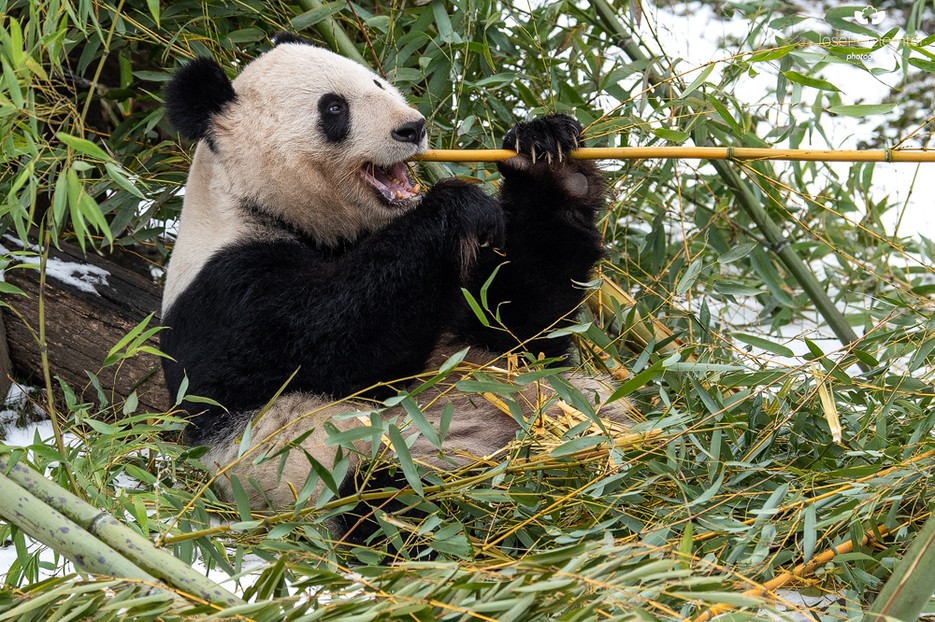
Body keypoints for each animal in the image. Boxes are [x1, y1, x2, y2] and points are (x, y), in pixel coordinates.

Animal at [161, 33, 617, 535]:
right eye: (333, 108)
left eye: (378, 83)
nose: (412, 128)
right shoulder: (228, 291)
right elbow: (337, 348)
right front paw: (456, 207)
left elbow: (519, 327)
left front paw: (549, 155)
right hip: (339, 466)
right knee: (397, 502)